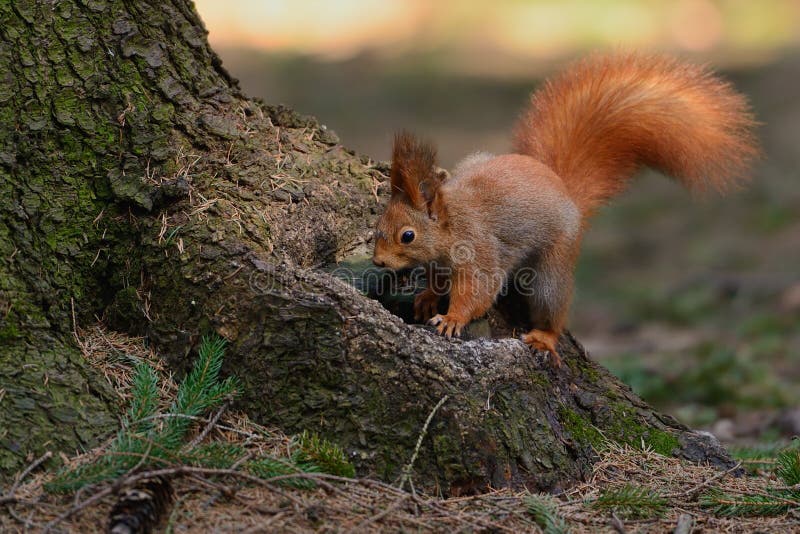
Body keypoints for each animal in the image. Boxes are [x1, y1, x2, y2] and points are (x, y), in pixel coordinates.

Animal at [371, 53, 758, 367]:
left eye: (408, 235)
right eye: (378, 227)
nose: (378, 262)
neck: (452, 222)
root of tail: (562, 188)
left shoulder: (479, 251)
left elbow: (479, 290)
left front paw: (453, 318)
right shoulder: (437, 262)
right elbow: (437, 282)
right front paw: (427, 298)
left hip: (552, 268)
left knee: (552, 307)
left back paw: (545, 336)